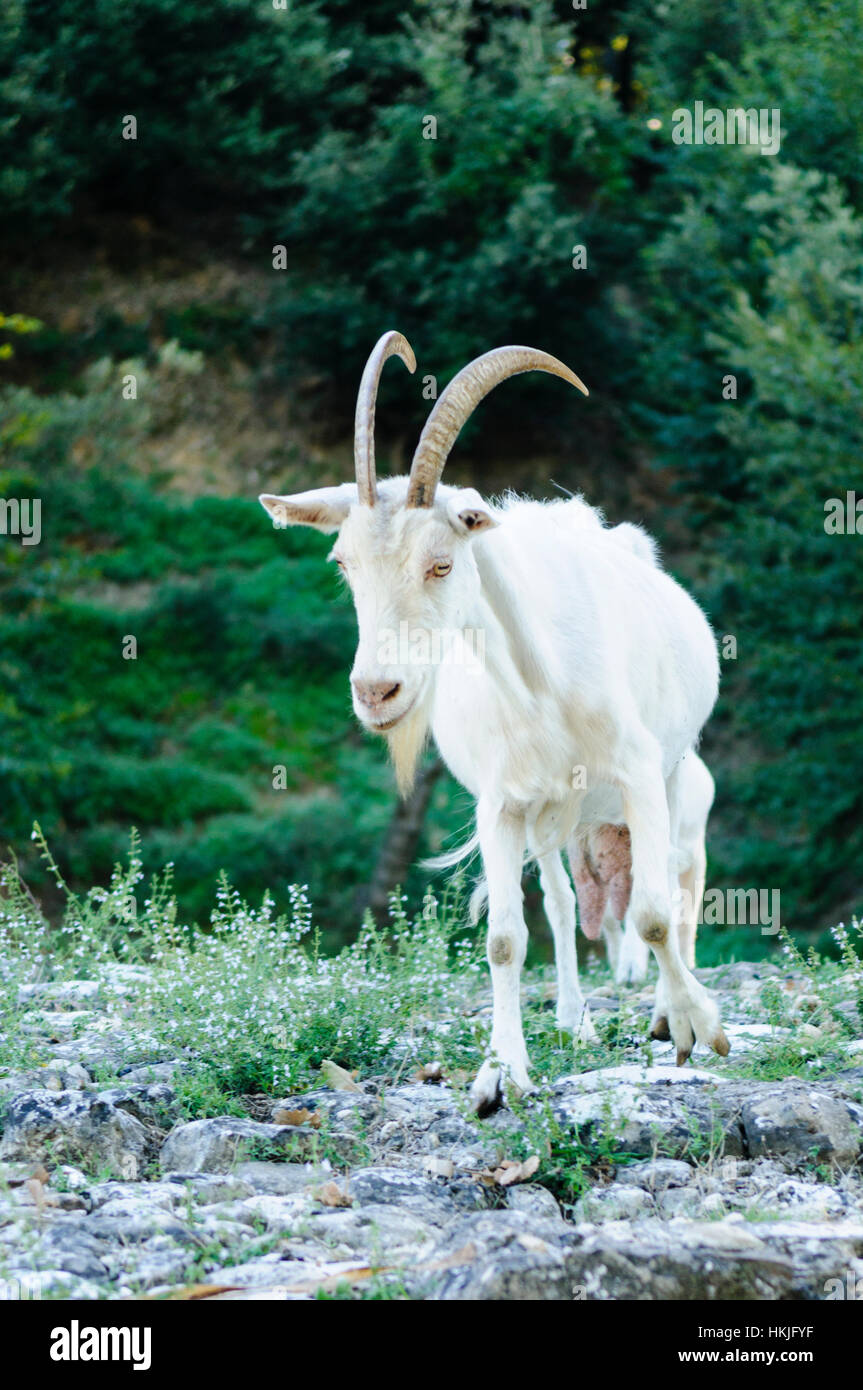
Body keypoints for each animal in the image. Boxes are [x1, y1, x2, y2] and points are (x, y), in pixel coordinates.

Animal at [260, 331, 729, 1112]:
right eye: (343, 562)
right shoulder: (501, 804)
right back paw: (573, 1018)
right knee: (564, 901)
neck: (541, 683)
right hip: (554, 814)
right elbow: (506, 938)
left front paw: (699, 1024)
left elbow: (655, 914)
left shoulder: (637, 770)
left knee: (678, 874)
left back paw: (669, 1006)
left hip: (675, 774)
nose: (376, 692)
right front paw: (501, 1074)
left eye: (442, 564)